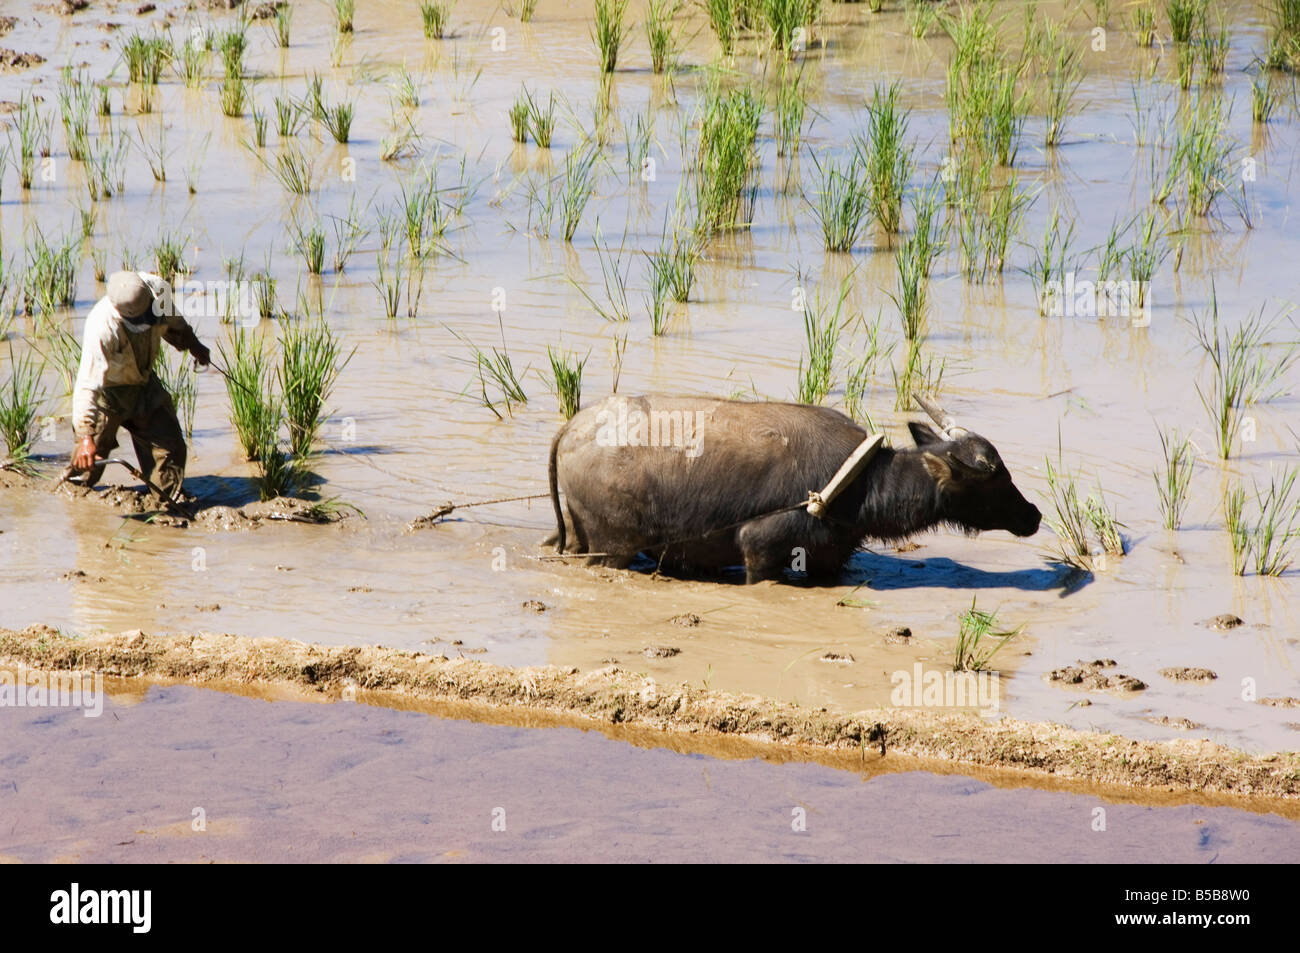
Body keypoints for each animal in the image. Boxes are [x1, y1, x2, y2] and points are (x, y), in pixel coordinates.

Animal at [547, 394, 1041, 584]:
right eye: (996, 478)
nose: (1034, 515)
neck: (861, 484)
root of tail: (572, 428)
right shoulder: (759, 548)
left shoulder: (830, 559)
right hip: (612, 548)